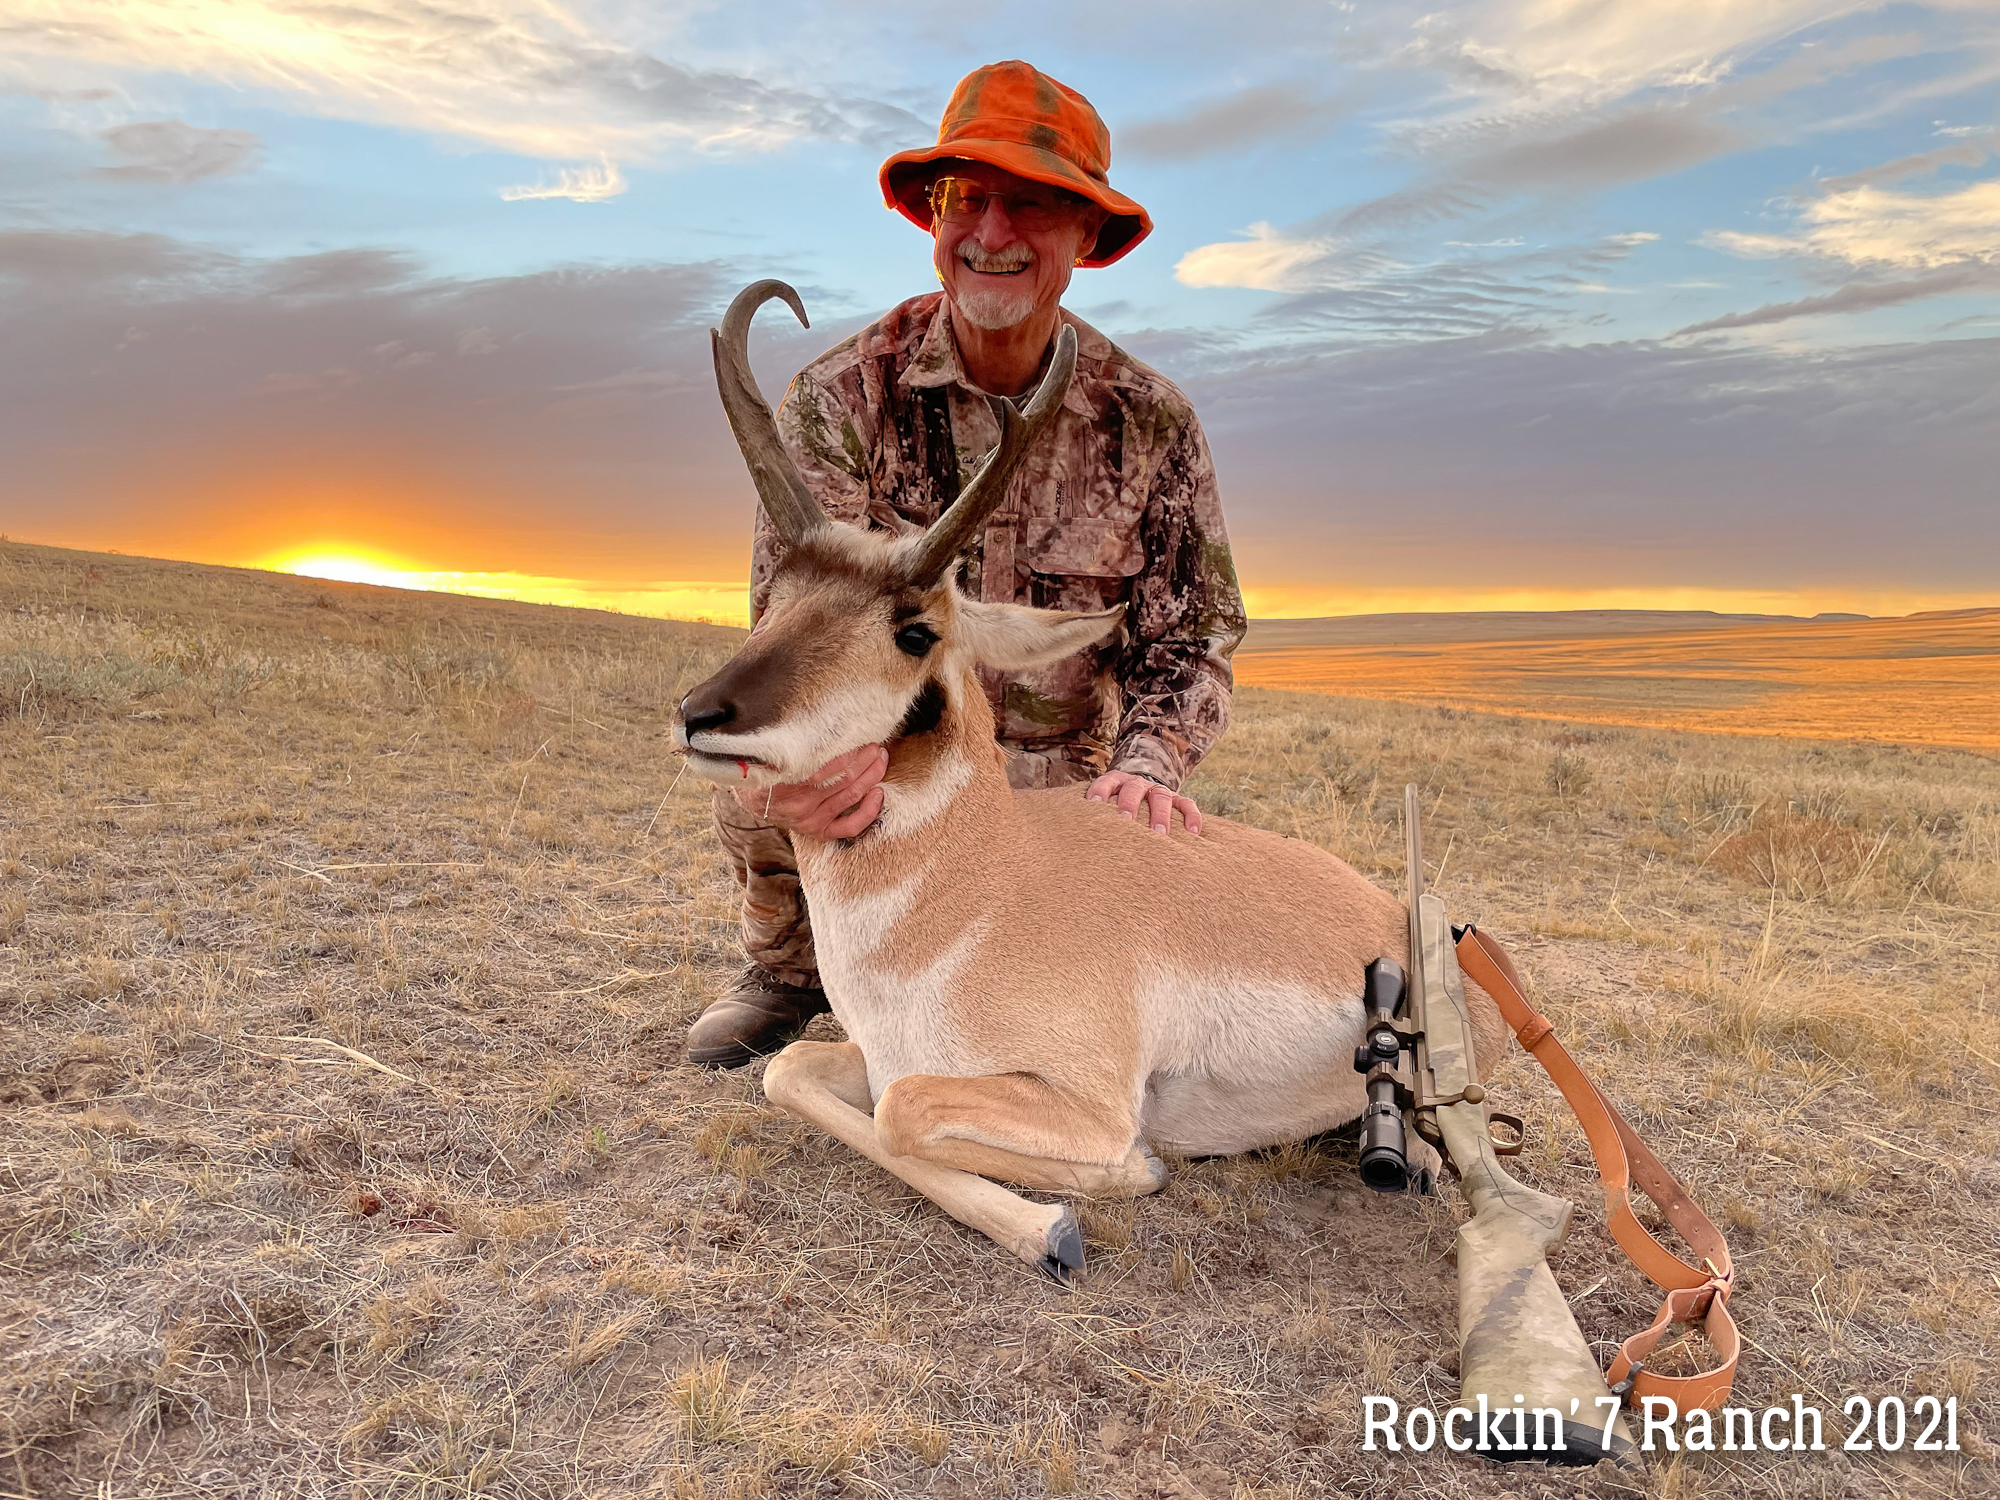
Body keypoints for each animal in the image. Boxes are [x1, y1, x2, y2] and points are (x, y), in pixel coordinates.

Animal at [675, 281, 1510, 1278]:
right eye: (778, 594)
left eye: (915, 629)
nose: (701, 714)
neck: (981, 884)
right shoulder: (873, 1054)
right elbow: (791, 1069)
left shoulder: (1079, 1099)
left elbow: (904, 1109)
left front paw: (1086, 1205)